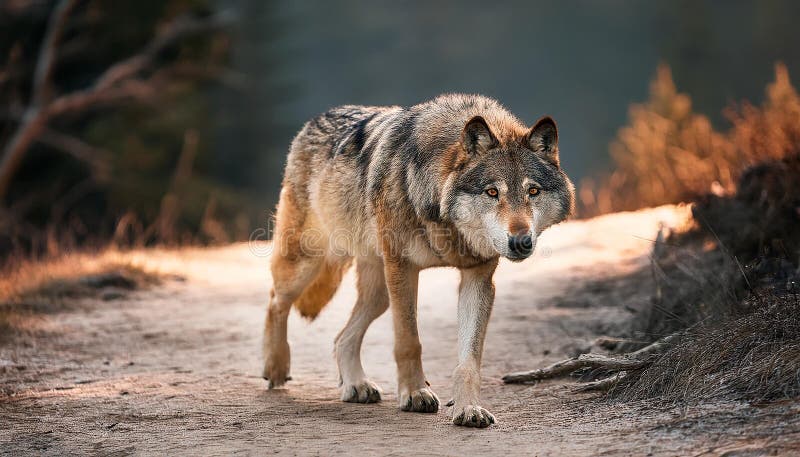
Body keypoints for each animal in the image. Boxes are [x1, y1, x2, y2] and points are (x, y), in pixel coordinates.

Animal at [263, 94, 574, 427]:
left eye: (533, 191)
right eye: (492, 192)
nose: (520, 241)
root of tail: (314, 121)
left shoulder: (478, 278)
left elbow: (469, 360)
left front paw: (469, 408)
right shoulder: (403, 269)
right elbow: (409, 341)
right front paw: (414, 394)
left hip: (379, 294)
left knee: (341, 338)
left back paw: (355, 385)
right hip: (309, 265)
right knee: (275, 301)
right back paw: (276, 367)